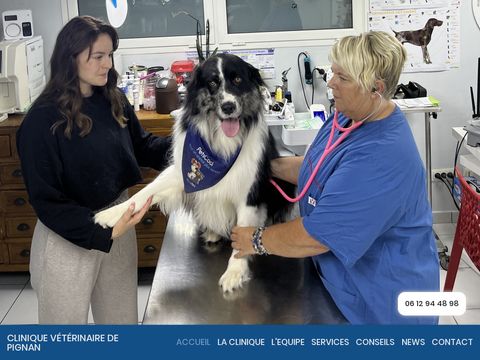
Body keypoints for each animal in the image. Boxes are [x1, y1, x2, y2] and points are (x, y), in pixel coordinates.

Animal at [94, 52, 292, 292]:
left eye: (237, 79)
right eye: (212, 83)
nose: (228, 106)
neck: (221, 146)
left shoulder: (249, 192)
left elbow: (243, 235)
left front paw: (234, 271)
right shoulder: (184, 171)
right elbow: (146, 191)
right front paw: (112, 213)